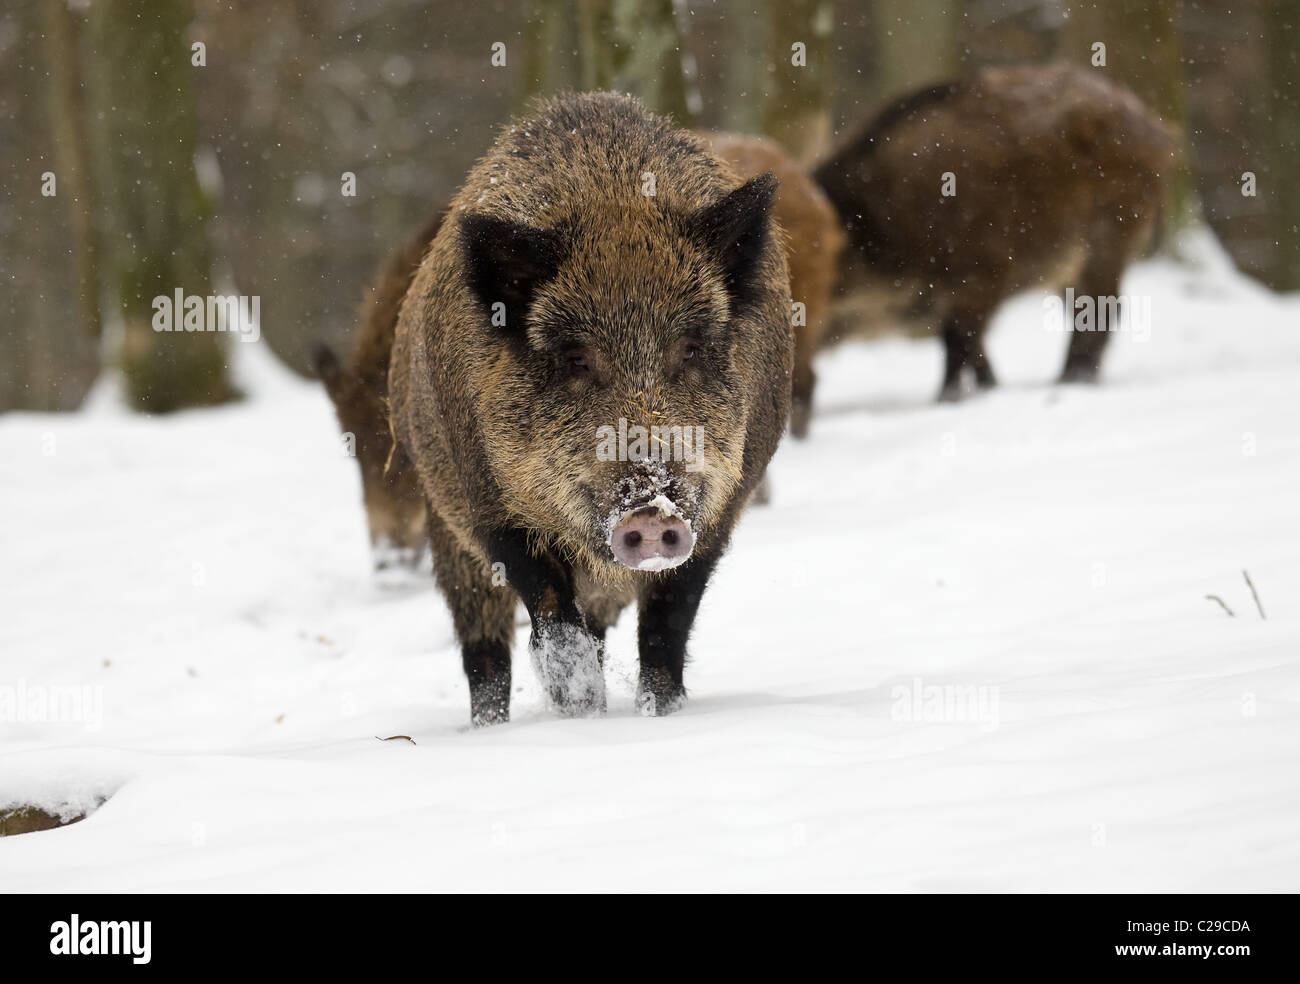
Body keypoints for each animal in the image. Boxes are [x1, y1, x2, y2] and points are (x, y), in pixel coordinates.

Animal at [389, 92, 793, 725]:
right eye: (577, 358)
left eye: (690, 347)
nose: (651, 511)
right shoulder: (488, 503)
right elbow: (551, 612)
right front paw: (579, 711)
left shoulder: (724, 506)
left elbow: (668, 624)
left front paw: (658, 714)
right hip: (444, 524)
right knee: (484, 652)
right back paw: (488, 729)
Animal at [813, 63, 1177, 401]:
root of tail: (1155, 125)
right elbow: (974, 345)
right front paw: (990, 387)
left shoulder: (981, 275)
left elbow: (958, 339)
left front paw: (947, 398)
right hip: (1071, 264)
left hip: (1111, 236)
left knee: (1102, 309)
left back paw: (1071, 380)